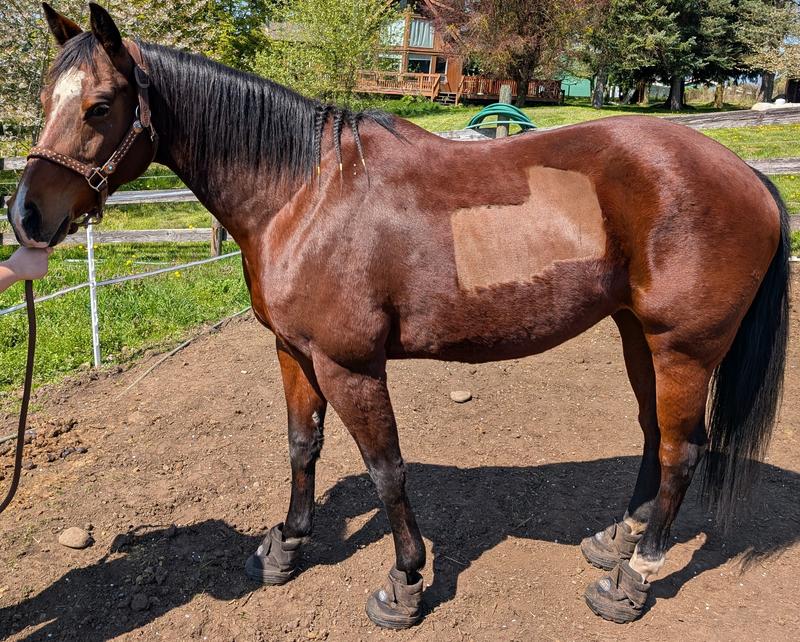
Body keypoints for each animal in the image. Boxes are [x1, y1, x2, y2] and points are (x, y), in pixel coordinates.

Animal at [7, 3, 789, 629]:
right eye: (45, 97)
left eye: (100, 106)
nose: (27, 216)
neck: (303, 193)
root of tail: (747, 174)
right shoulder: (295, 353)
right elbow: (302, 446)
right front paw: (287, 545)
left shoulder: (349, 365)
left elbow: (386, 469)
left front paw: (406, 582)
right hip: (636, 334)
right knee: (654, 433)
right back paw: (617, 538)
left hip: (683, 349)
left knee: (682, 451)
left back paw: (633, 578)